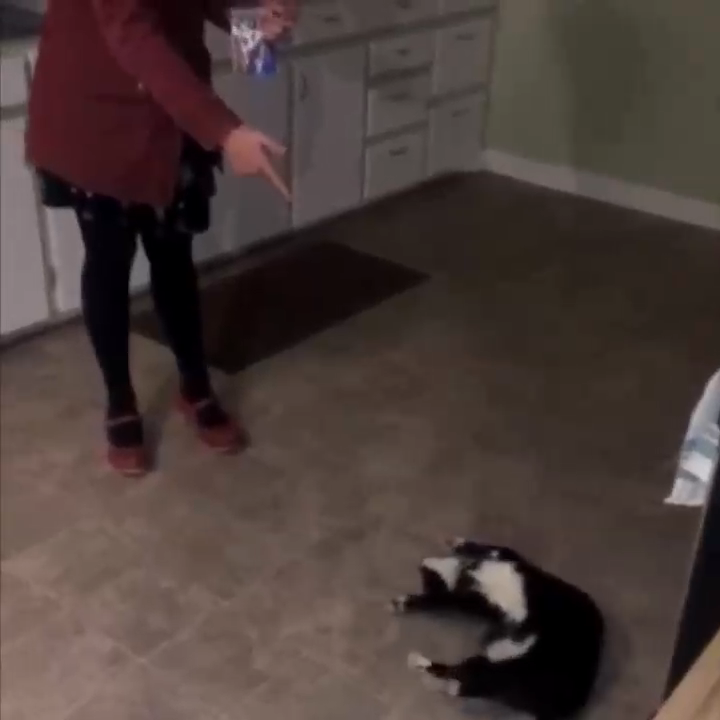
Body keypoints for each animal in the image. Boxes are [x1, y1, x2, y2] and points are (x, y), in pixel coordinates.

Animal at [391, 538, 605, 720]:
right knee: (467, 681)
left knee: (456, 672)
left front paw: (403, 602)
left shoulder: (468, 599)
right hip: (497, 666)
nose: (421, 563)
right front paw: (458, 542)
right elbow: (493, 547)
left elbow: (436, 600)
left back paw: (418, 660)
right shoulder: (503, 563)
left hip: (509, 671)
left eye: (426, 579)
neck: (467, 573)